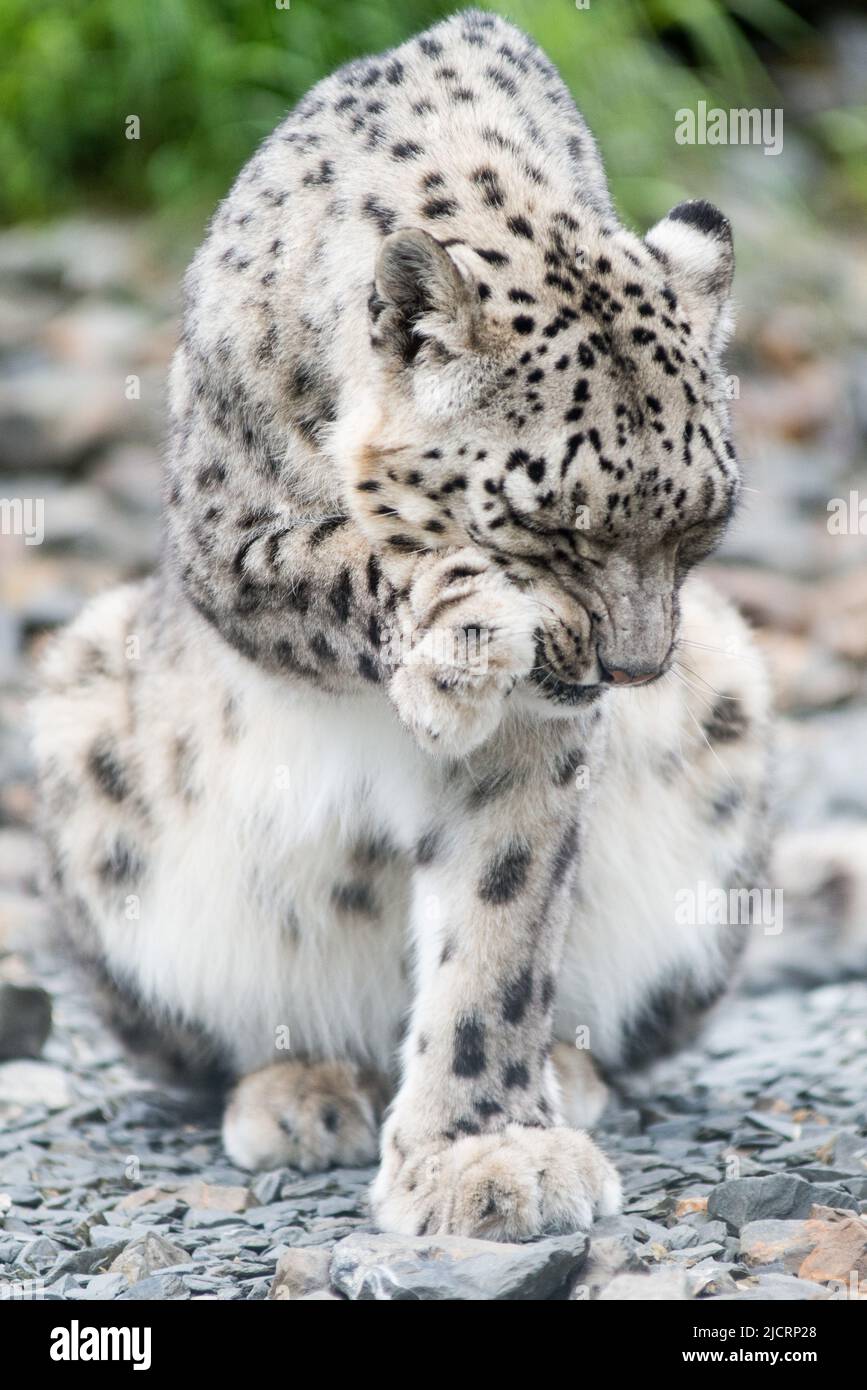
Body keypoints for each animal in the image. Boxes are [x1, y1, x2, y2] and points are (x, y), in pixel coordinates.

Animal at [32, 9, 772, 1241]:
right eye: (549, 526)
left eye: (702, 526)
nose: (630, 667)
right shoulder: (220, 537)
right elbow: (341, 561)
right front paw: (461, 628)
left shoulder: (541, 748)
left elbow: (501, 925)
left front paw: (485, 1153)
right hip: (91, 742)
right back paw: (298, 1087)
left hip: (731, 711)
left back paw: (566, 1074)